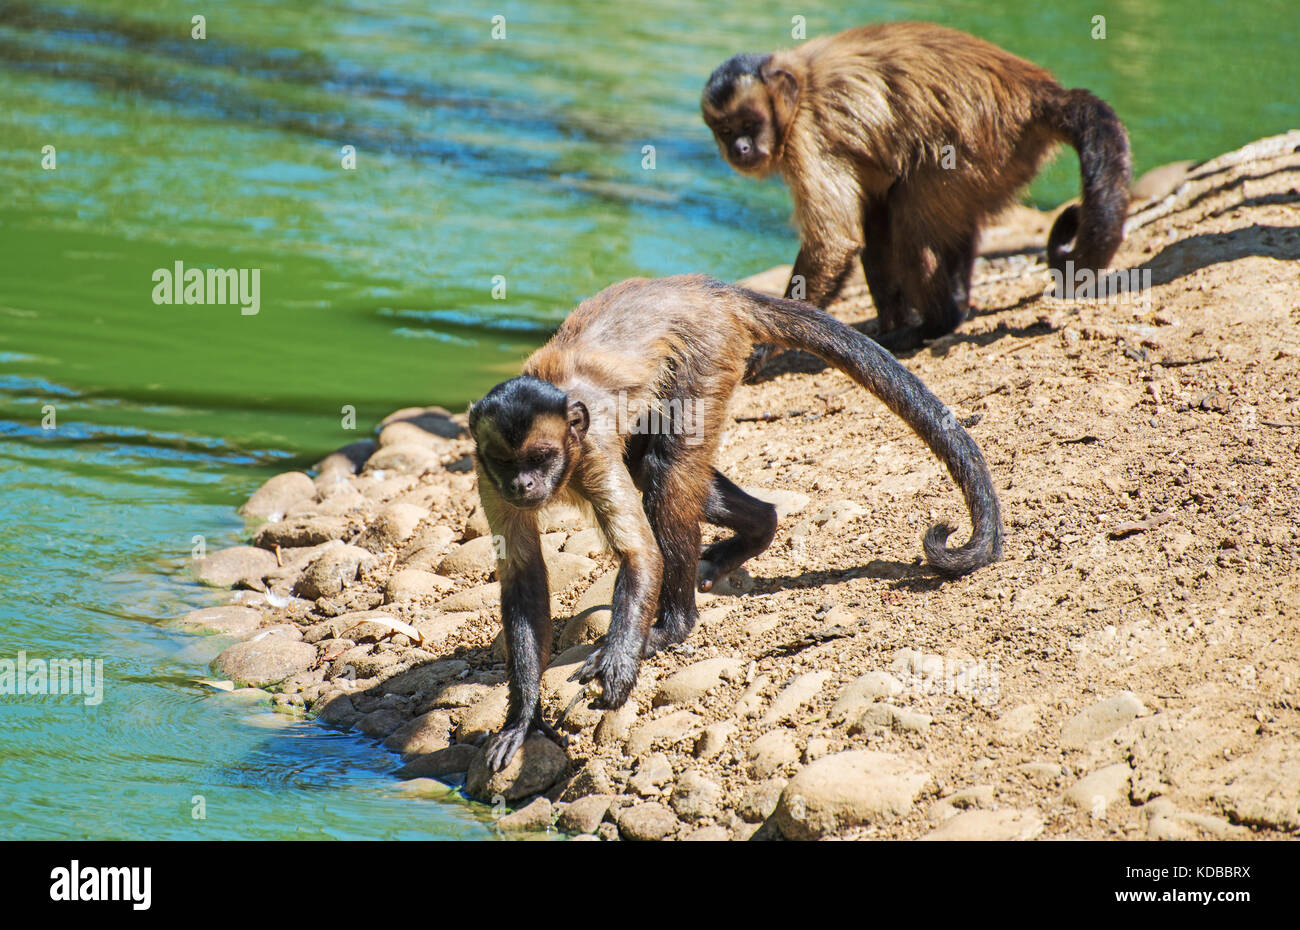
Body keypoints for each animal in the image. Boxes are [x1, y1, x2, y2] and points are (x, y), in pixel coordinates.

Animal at [467, 275, 1003, 770]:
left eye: (540, 456)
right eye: (507, 462)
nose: (524, 484)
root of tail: (706, 289)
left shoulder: (593, 447)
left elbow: (641, 554)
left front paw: (618, 666)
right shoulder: (486, 475)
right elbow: (523, 576)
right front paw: (522, 717)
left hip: (707, 352)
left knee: (666, 470)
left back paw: (673, 628)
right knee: (657, 468)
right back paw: (760, 527)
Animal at [701, 21, 1131, 360]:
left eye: (750, 124)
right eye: (725, 130)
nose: (739, 148)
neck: (800, 83)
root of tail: (1034, 90)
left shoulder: (809, 130)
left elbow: (836, 242)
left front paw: (763, 349)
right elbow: (869, 223)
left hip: (972, 144)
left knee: (910, 221)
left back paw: (937, 323)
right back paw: (943, 309)